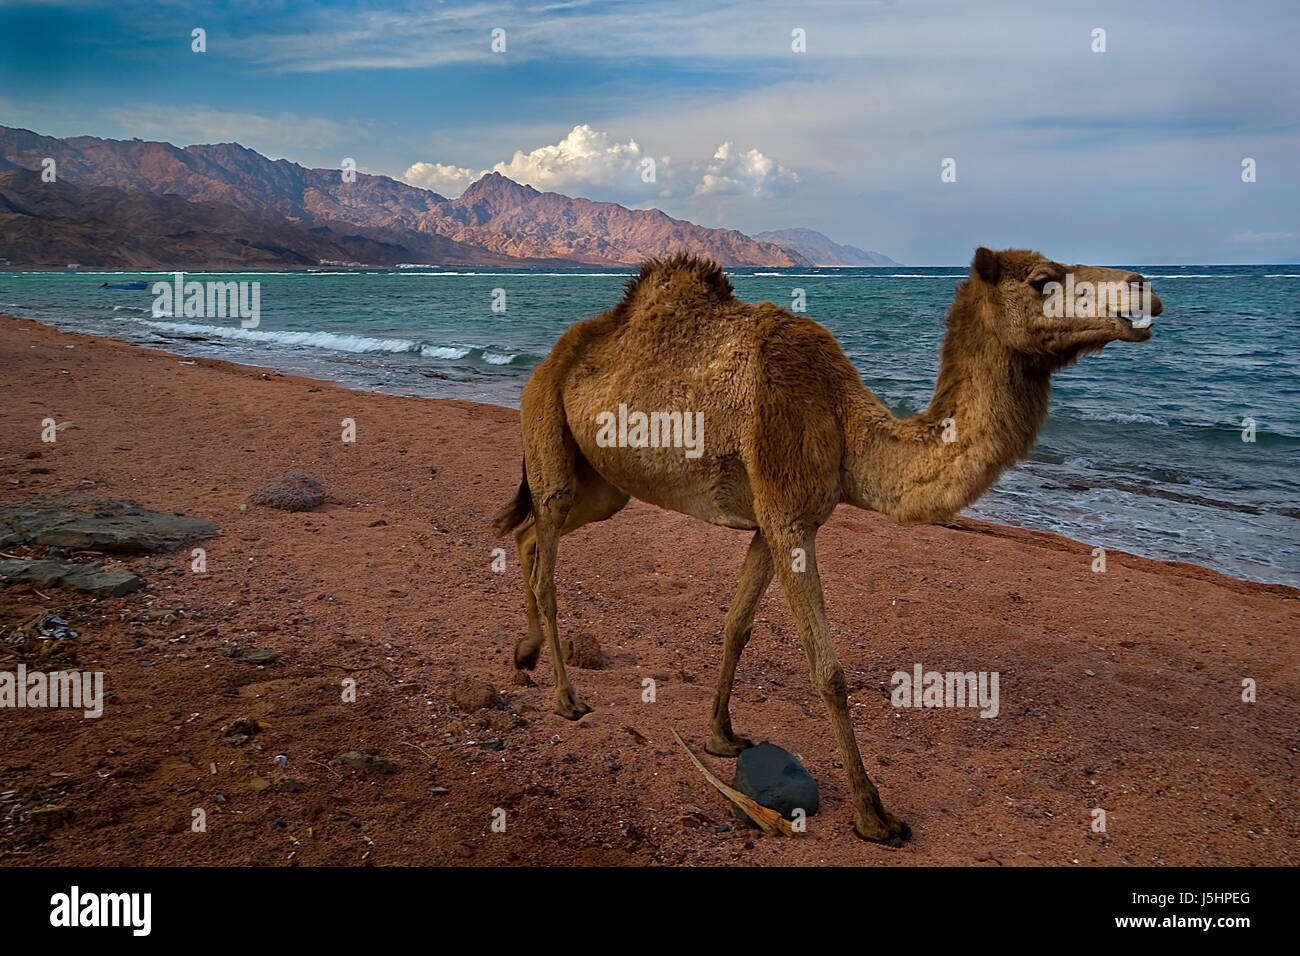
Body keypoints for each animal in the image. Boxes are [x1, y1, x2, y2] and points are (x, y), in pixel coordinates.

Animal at [494, 247, 1162, 844]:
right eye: (1044, 279)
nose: (1143, 289)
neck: (844, 427)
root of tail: (553, 357)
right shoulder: (789, 515)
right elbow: (829, 670)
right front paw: (875, 816)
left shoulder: (775, 524)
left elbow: (737, 625)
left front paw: (720, 736)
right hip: (546, 427)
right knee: (547, 557)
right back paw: (566, 697)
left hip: (604, 486)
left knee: (527, 533)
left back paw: (525, 653)